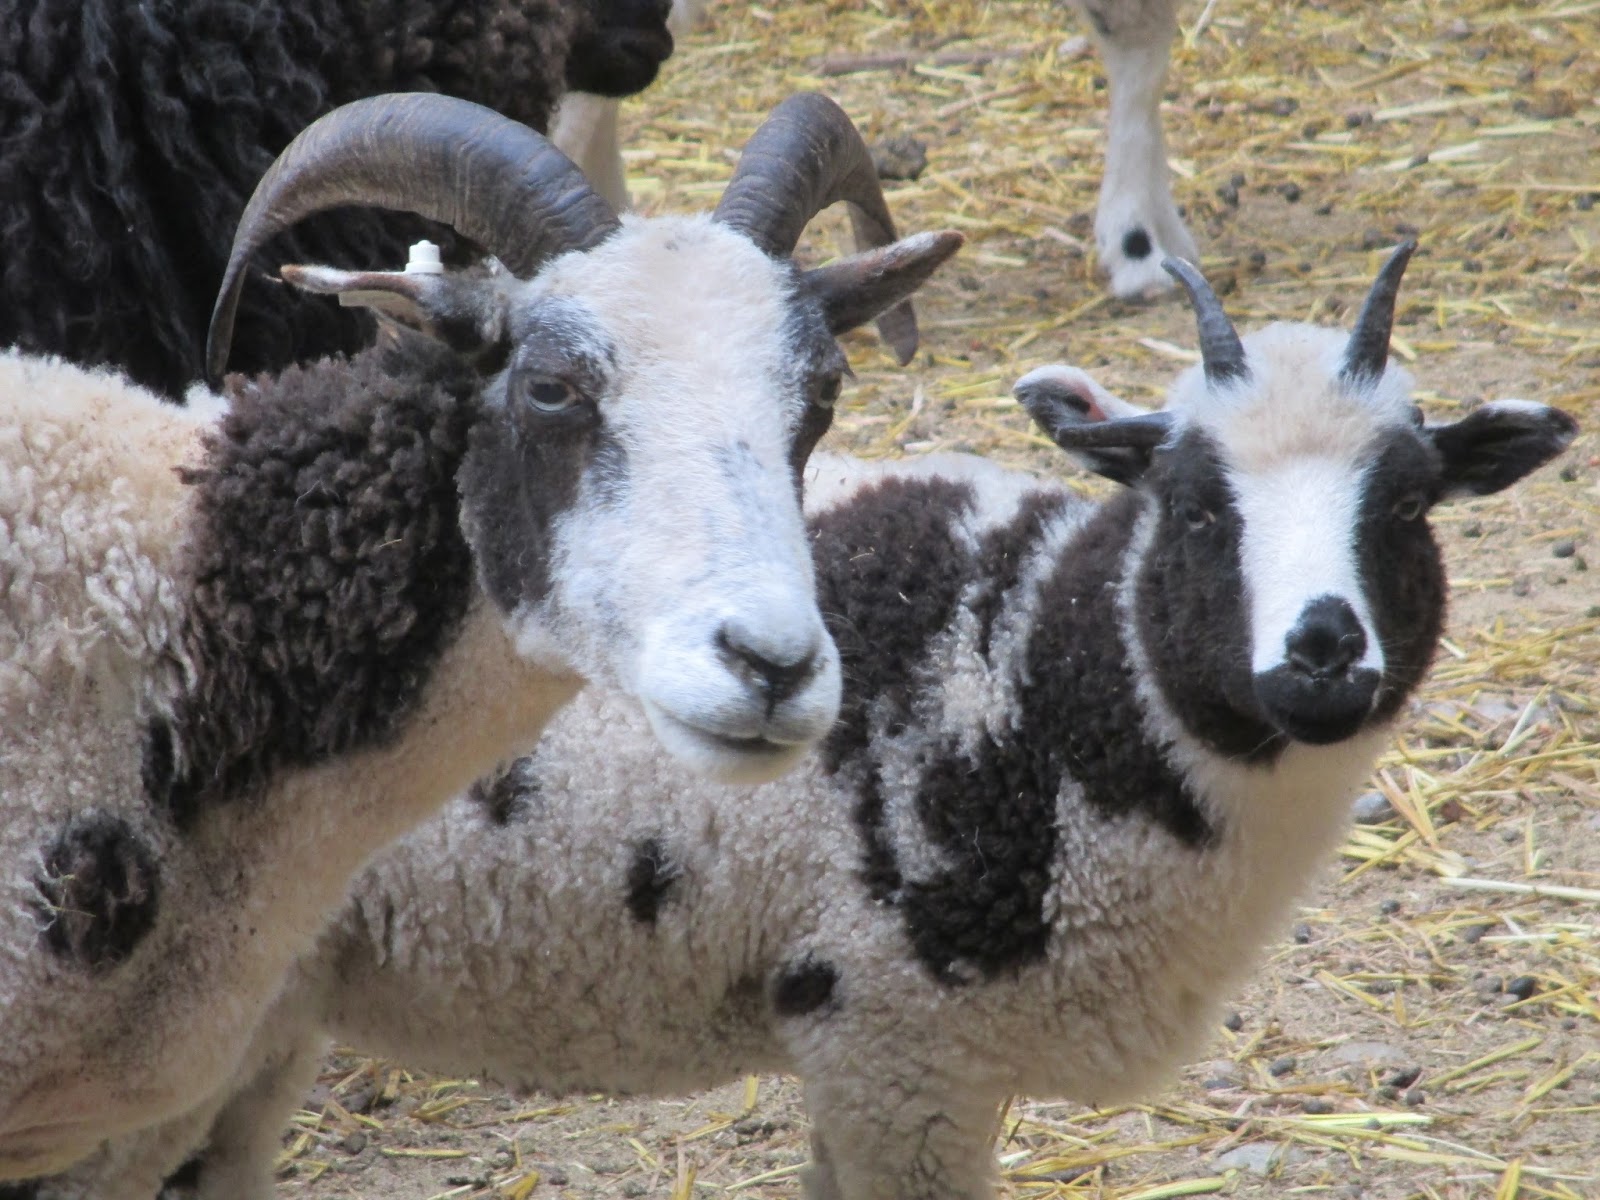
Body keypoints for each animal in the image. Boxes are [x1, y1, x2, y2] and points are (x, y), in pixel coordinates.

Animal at [34, 244, 1577, 1200]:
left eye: (1410, 505)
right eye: (1195, 507)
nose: (1321, 651)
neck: (1049, 669)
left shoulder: (873, 1062)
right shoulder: (893, 1043)